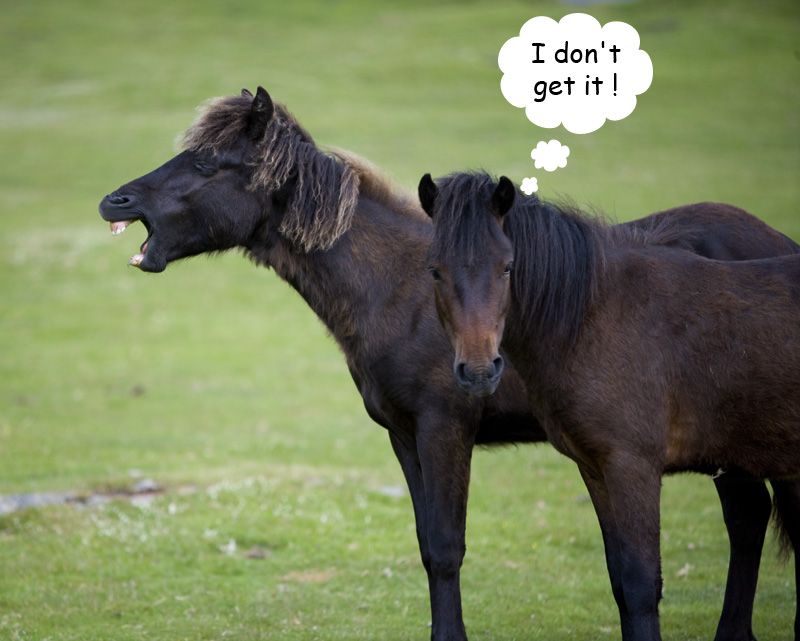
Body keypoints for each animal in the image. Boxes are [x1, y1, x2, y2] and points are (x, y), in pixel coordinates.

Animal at [419, 170, 800, 641]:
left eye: (507, 267)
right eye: (435, 271)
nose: (478, 371)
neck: (592, 316)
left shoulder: (633, 466)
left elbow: (640, 583)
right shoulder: (596, 468)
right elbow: (620, 580)